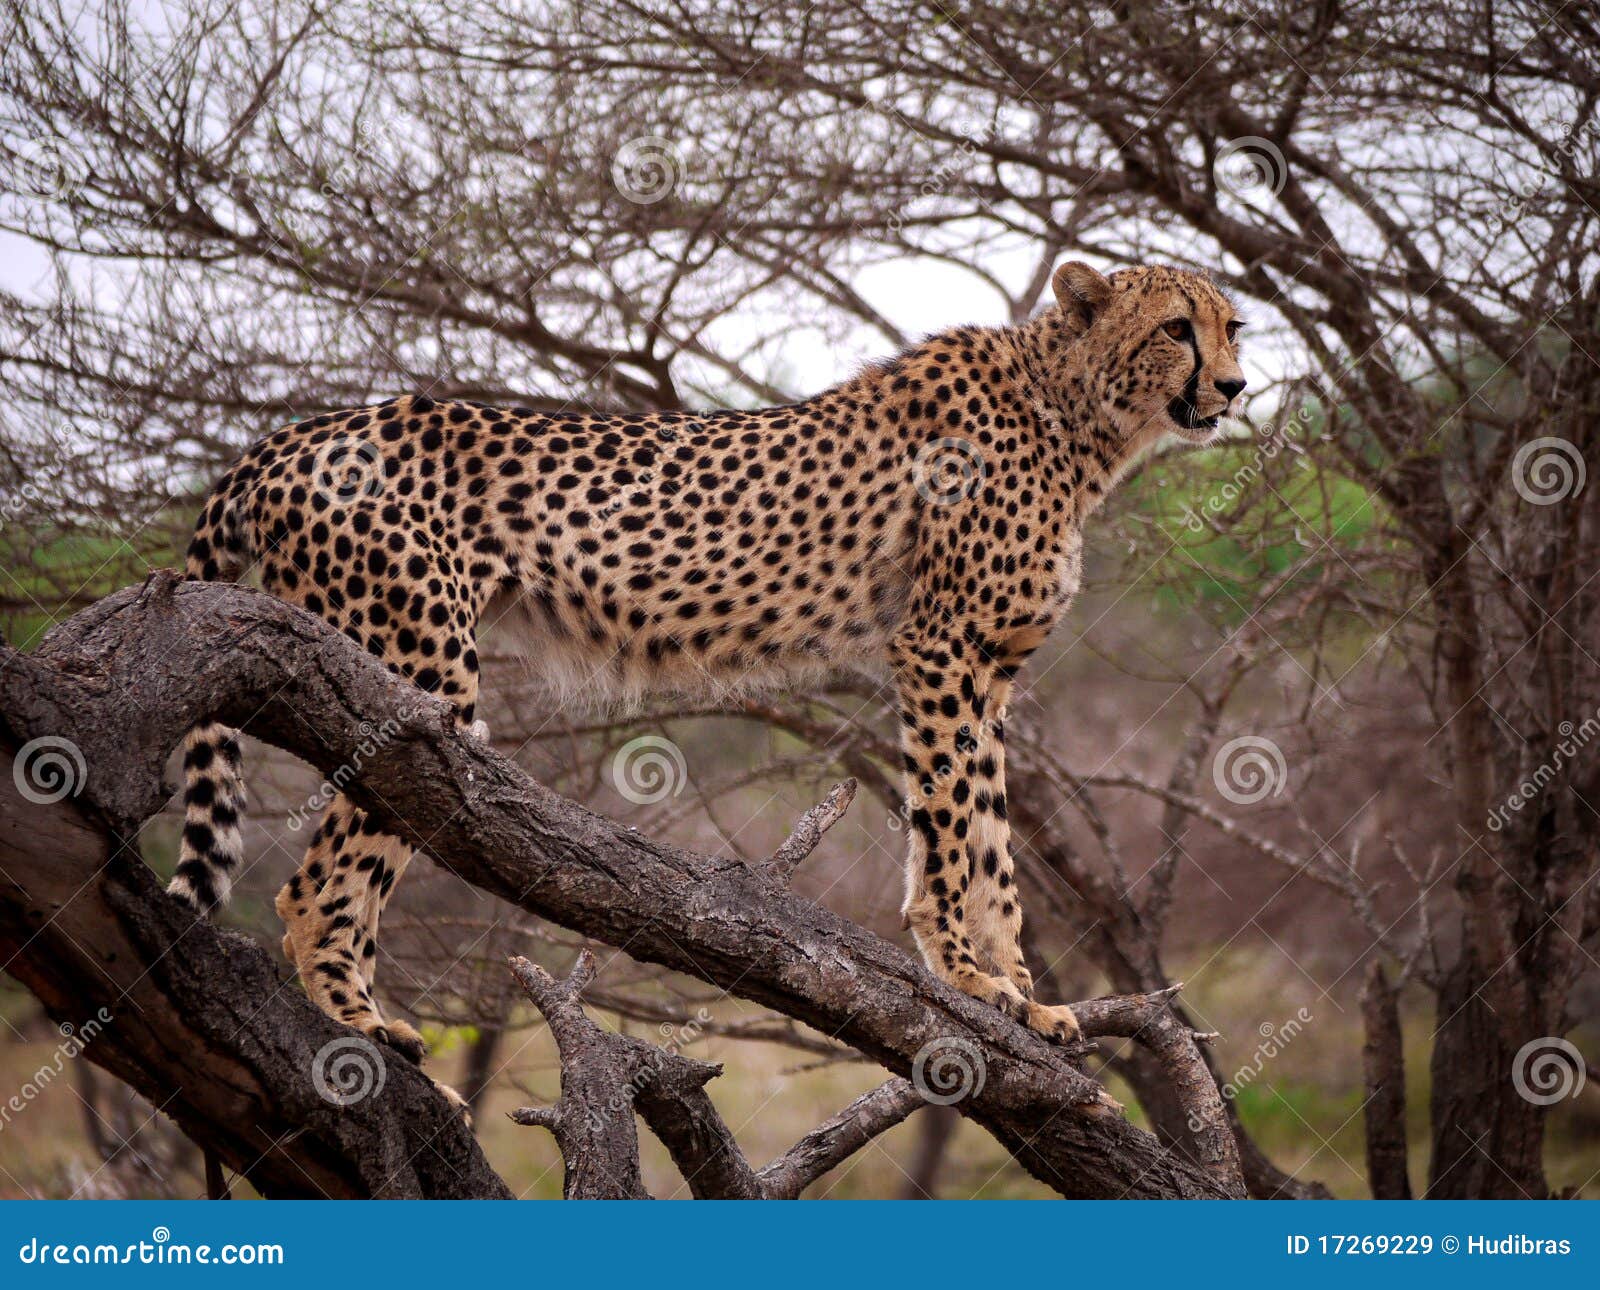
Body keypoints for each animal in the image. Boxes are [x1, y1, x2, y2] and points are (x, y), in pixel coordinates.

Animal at [169, 261, 1246, 1089]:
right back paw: (362, 1032)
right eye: (1175, 327)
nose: (1236, 387)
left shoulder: (989, 668)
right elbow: (950, 830)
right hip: (416, 665)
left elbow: (991, 841)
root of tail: (300, 429)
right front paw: (968, 981)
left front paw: (1024, 997)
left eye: (1231, 326)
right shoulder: (939, 647)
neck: (1076, 412)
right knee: (316, 881)